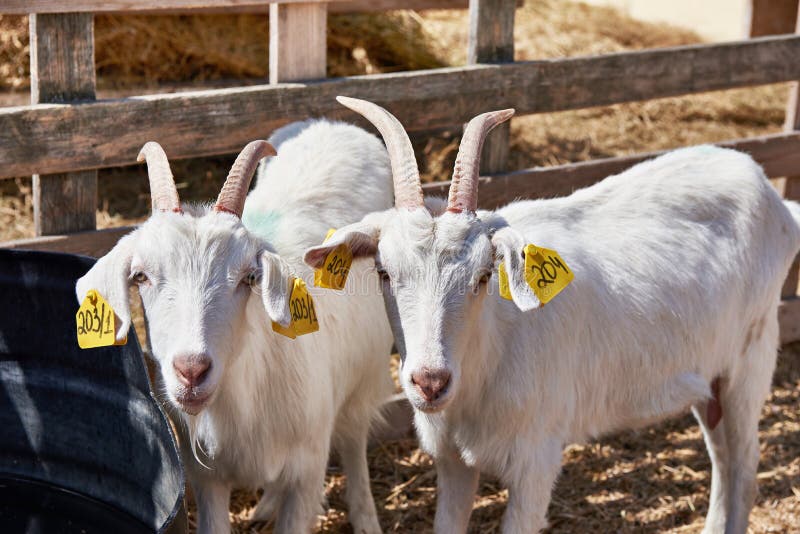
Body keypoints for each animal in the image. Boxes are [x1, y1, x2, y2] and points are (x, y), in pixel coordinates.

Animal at [76, 119, 394, 533]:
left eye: (249, 277)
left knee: (355, 439)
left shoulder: (307, 471)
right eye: (141, 276)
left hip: (364, 370)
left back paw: (365, 516)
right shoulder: (207, 478)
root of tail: (334, 124)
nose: (191, 371)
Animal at [305, 97, 800, 533]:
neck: (491, 350)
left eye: (483, 275)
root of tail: (774, 197)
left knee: (745, 469)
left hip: (752, 356)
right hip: (709, 376)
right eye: (384, 272)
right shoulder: (453, 460)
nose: (430, 382)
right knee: (722, 459)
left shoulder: (536, 461)